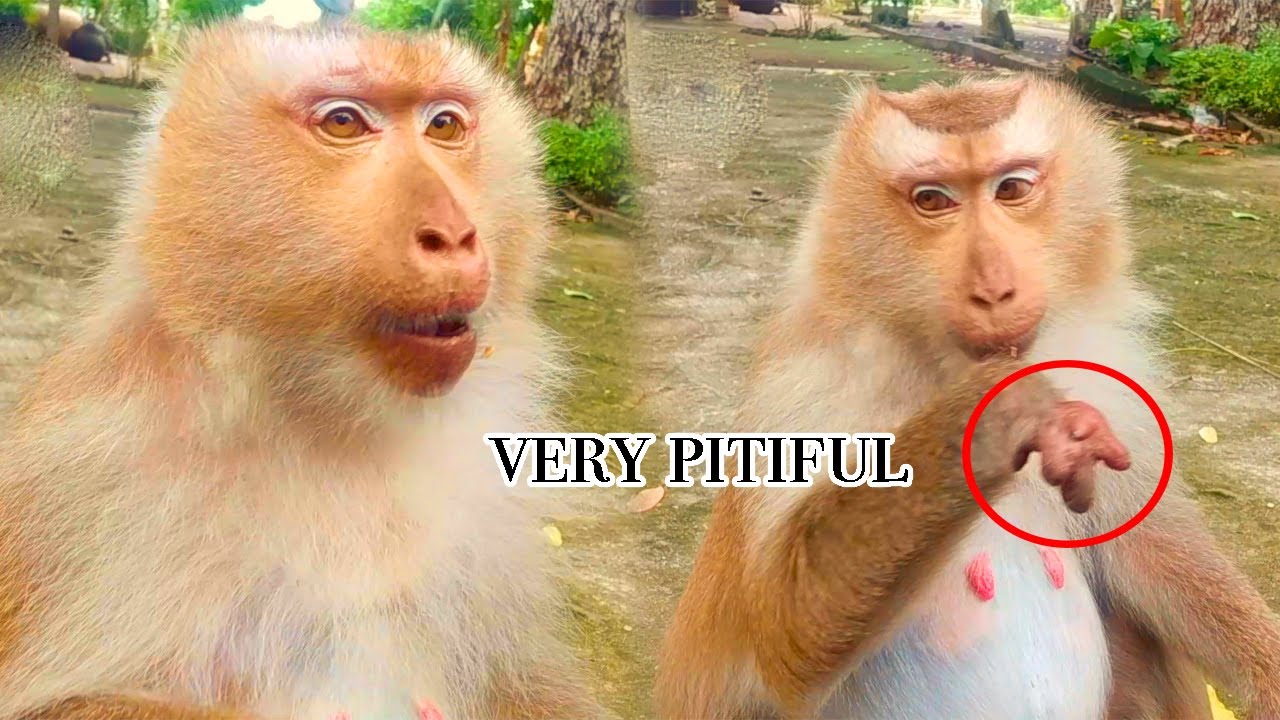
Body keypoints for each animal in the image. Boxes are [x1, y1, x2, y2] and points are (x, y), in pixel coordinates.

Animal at [655, 75, 1280, 719]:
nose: (993, 288)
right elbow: (782, 641)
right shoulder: (805, 380)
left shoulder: (1110, 371)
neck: (938, 366)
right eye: (933, 199)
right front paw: (1000, 414)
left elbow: (1151, 548)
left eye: (1013, 188)